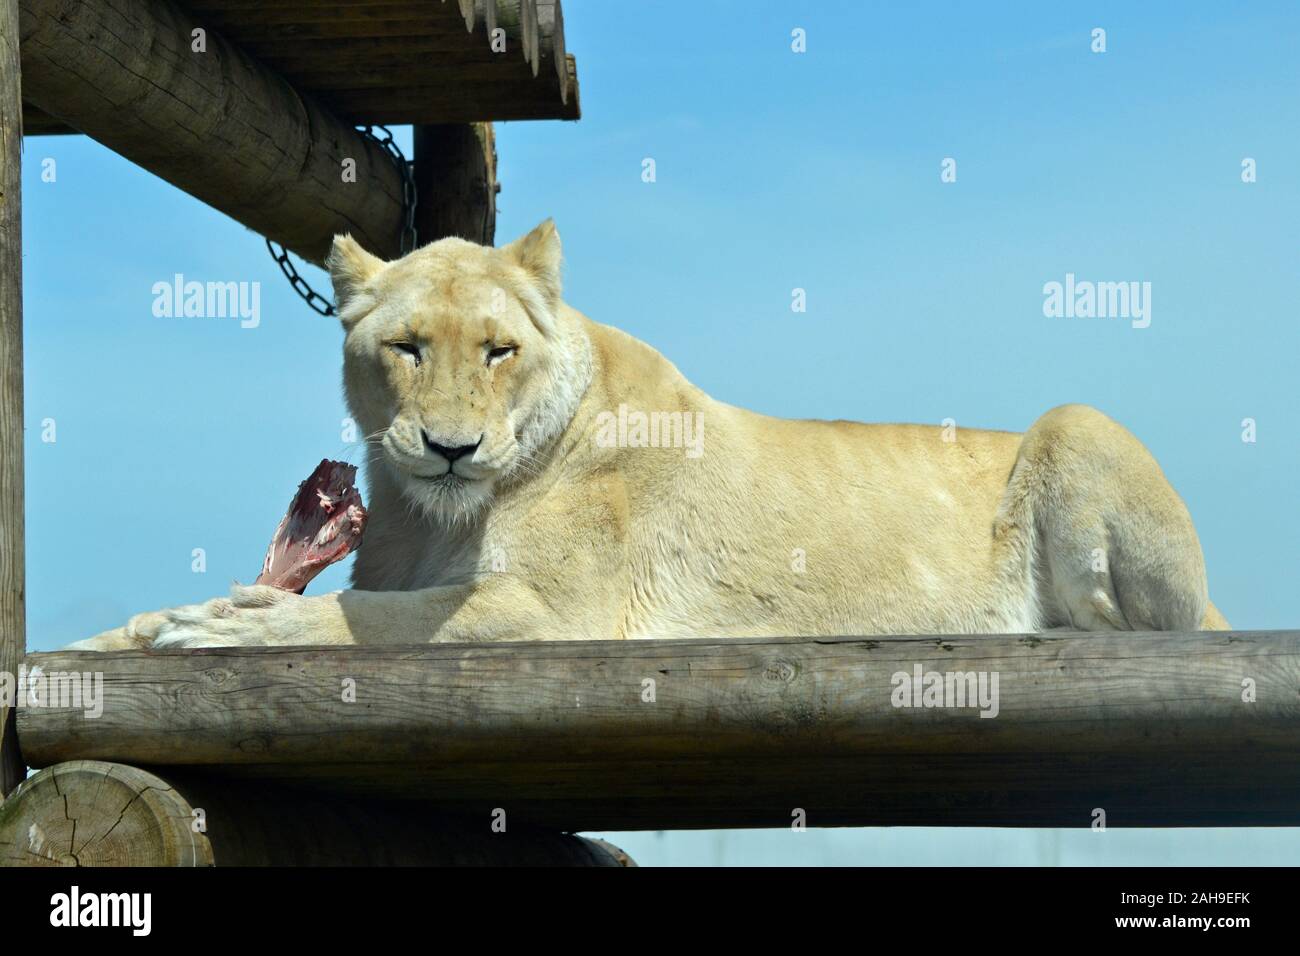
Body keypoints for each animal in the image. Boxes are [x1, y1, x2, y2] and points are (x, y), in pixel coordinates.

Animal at [73, 219, 1228, 651]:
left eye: (497, 350)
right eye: (406, 347)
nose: (449, 449)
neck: (436, 512)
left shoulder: (554, 611)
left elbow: (366, 620)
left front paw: (230, 626)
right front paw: (126, 636)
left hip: (1079, 424)